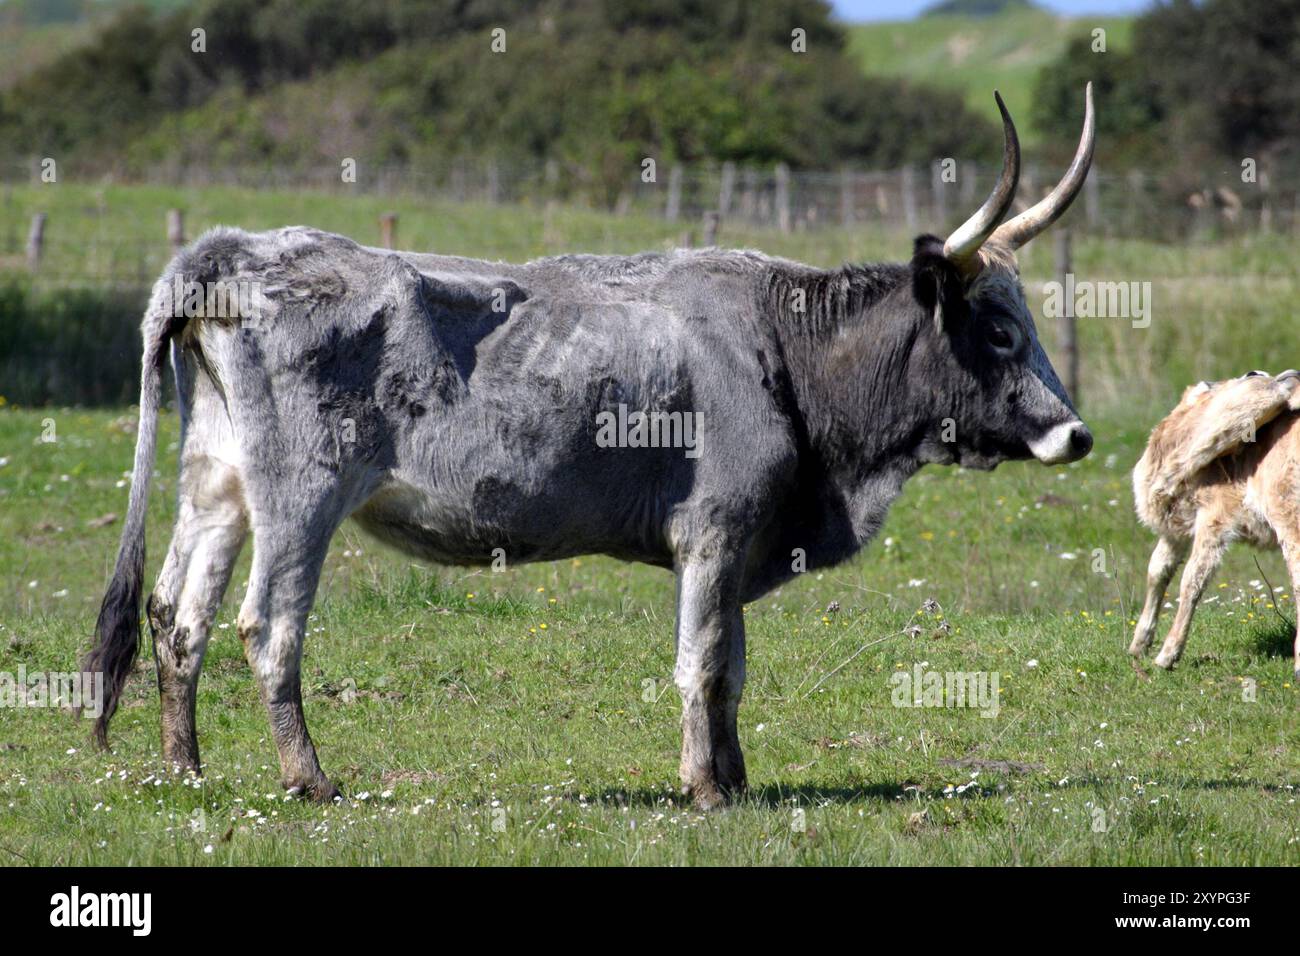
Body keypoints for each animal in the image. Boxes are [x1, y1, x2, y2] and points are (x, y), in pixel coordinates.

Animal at [84, 87, 1095, 809]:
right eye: (999, 329)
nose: (1077, 432)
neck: (785, 350)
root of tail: (224, 252)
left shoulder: (736, 544)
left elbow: (730, 669)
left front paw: (735, 778)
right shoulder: (715, 533)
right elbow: (702, 663)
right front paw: (704, 789)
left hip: (217, 487)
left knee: (177, 616)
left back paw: (184, 769)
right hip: (301, 495)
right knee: (267, 625)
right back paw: (308, 778)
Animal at [1130, 370, 1300, 673]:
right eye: (1253, 374)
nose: (1293, 374)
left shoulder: (1215, 517)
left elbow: (1192, 580)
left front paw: (1167, 654)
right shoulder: (1177, 526)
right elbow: (1157, 569)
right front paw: (1140, 642)